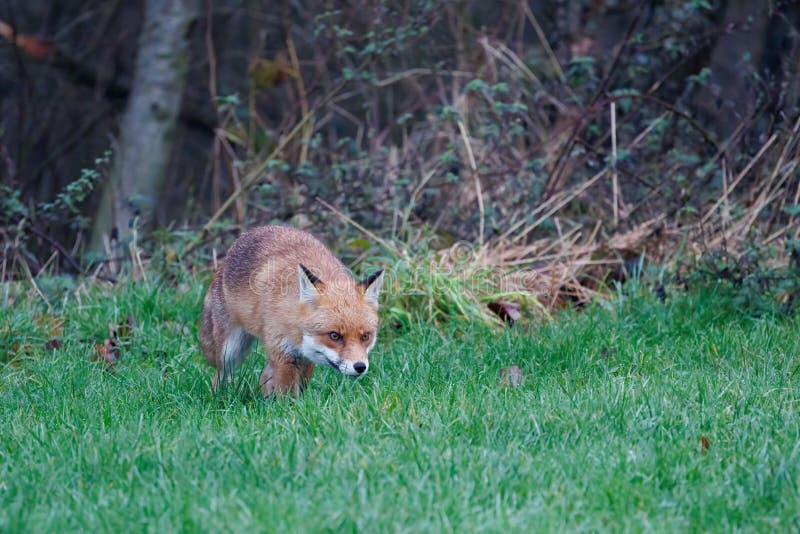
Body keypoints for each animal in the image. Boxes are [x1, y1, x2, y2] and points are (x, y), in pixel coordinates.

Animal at [199, 225, 384, 396]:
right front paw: (288, 408)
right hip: (230, 350)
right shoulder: (284, 354)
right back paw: (220, 397)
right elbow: (288, 396)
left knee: (264, 376)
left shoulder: (307, 357)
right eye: (334, 336)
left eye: (365, 336)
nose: (360, 367)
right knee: (221, 374)